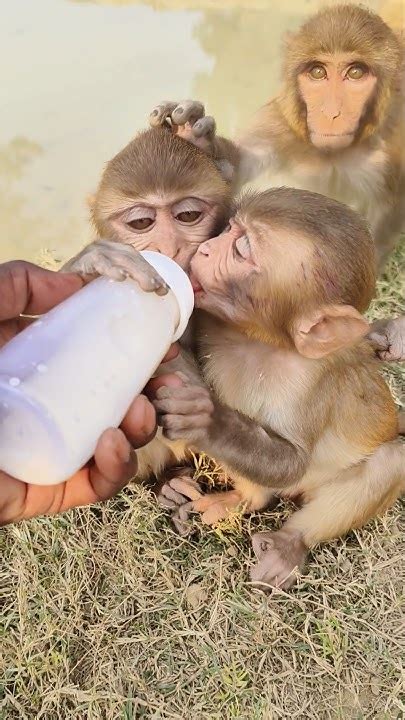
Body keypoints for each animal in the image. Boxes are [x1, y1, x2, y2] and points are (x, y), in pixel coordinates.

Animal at [149, 5, 405, 270]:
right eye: (318, 72)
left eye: (355, 72)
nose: (331, 113)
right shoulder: (281, 123)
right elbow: (235, 169)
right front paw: (198, 140)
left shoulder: (392, 145)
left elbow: (384, 223)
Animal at [151, 187, 404, 590]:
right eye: (228, 229)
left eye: (241, 249)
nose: (204, 249)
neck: (260, 341)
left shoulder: (310, 384)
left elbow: (291, 461)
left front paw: (208, 421)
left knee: (389, 460)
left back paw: (287, 539)